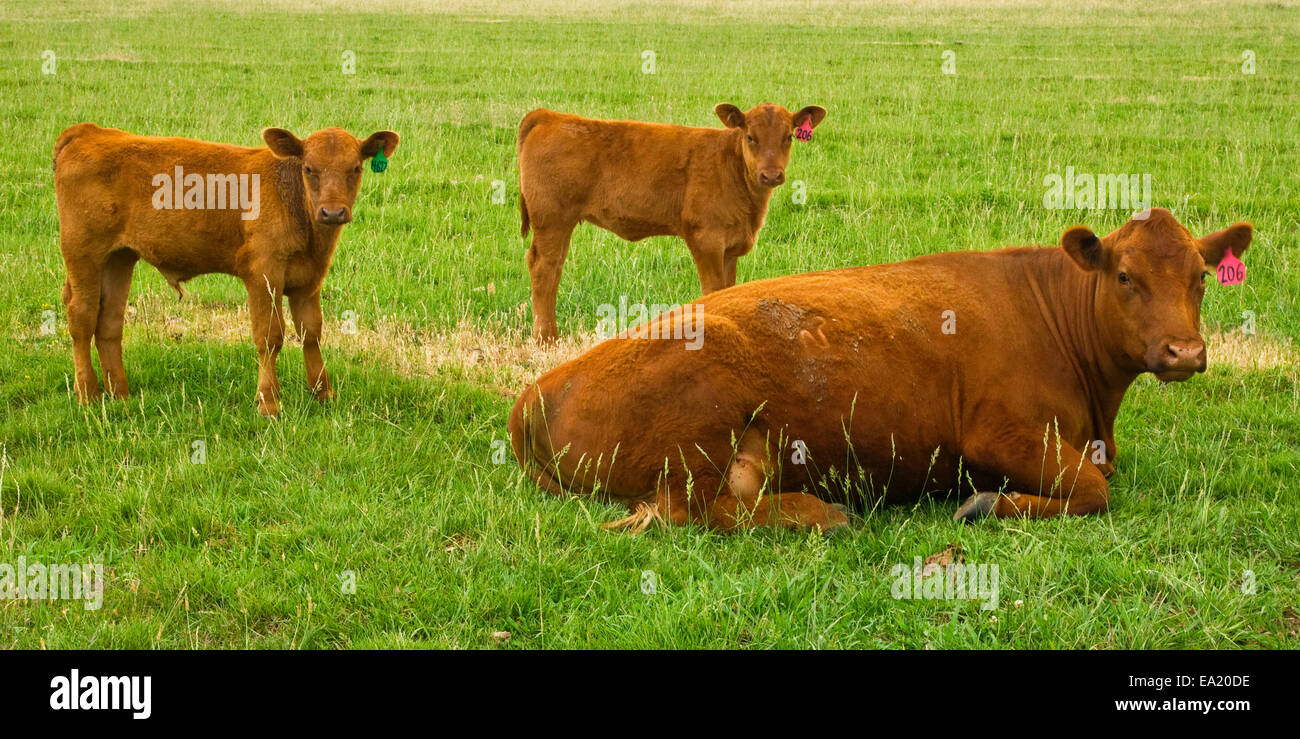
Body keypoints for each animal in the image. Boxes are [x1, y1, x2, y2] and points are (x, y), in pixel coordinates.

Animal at [52, 123, 399, 416]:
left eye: (355, 168)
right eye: (309, 168)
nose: (332, 212)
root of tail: (89, 131)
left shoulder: (309, 280)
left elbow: (311, 333)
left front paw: (323, 393)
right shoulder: (262, 274)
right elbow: (270, 337)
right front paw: (268, 402)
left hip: (119, 257)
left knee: (109, 321)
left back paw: (119, 394)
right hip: (83, 253)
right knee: (81, 318)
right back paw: (88, 394)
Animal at [509, 209, 1253, 533]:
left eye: (1200, 278)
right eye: (1125, 276)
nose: (1185, 352)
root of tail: (540, 386)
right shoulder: (1000, 434)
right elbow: (1095, 490)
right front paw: (985, 503)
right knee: (685, 512)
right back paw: (817, 511)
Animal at [516, 102, 827, 342]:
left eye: (788, 137)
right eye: (750, 136)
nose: (771, 175)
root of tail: (551, 116)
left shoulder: (730, 247)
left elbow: (727, 289)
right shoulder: (706, 239)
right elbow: (712, 290)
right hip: (552, 221)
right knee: (544, 268)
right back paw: (547, 339)